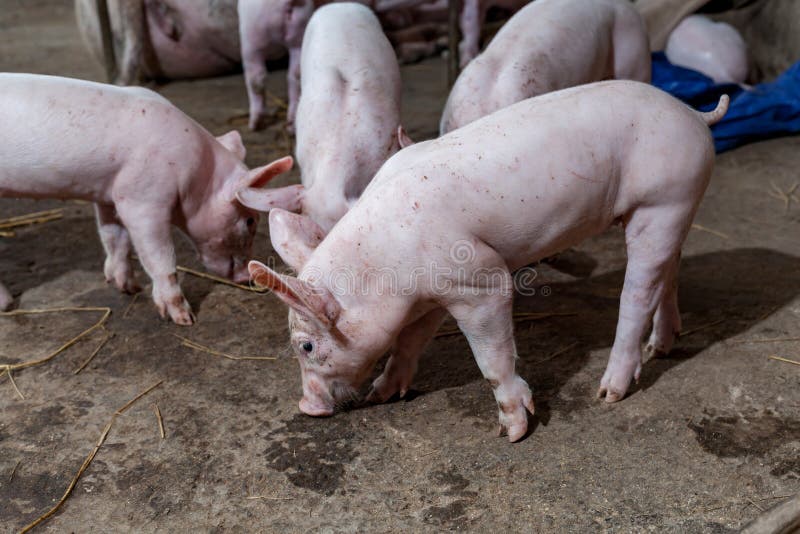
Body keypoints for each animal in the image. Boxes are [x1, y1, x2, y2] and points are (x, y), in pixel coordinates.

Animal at [0, 73, 293, 324]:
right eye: (250, 221)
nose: (247, 278)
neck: (196, 177)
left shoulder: (111, 193)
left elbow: (114, 238)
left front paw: (128, 288)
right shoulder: (143, 199)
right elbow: (161, 256)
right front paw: (184, 319)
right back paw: (8, 304)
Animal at [248, 80, 729, 442]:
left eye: (306, 346)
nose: (306, 406)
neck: (386, 267)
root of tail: (693, 114)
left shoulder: (479, 281)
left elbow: (492, 358)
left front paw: (513, 431)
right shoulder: (432, 296)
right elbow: (409, 342)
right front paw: (382, 394)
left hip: (664, 200)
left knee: (638, 293)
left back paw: (608, 392)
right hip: (670, 210)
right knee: (669, 269)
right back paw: (661, 346)